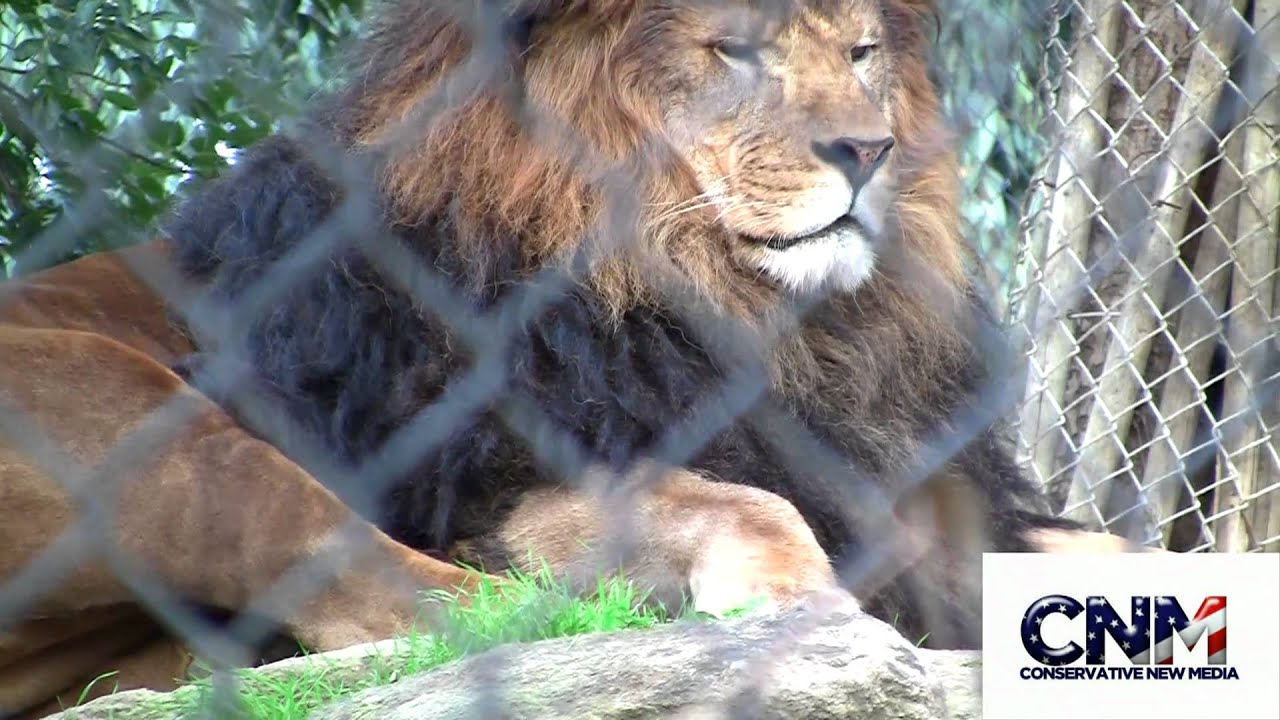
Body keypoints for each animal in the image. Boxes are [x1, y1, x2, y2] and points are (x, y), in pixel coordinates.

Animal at [0, 0, 1149, 715]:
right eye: (734, 52)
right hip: (123, 404)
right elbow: (746, 505)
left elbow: (1109, 552)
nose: (869, 151)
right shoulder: (485, 480)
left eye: (862, 52)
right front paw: (804, 614)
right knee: (398, 595)